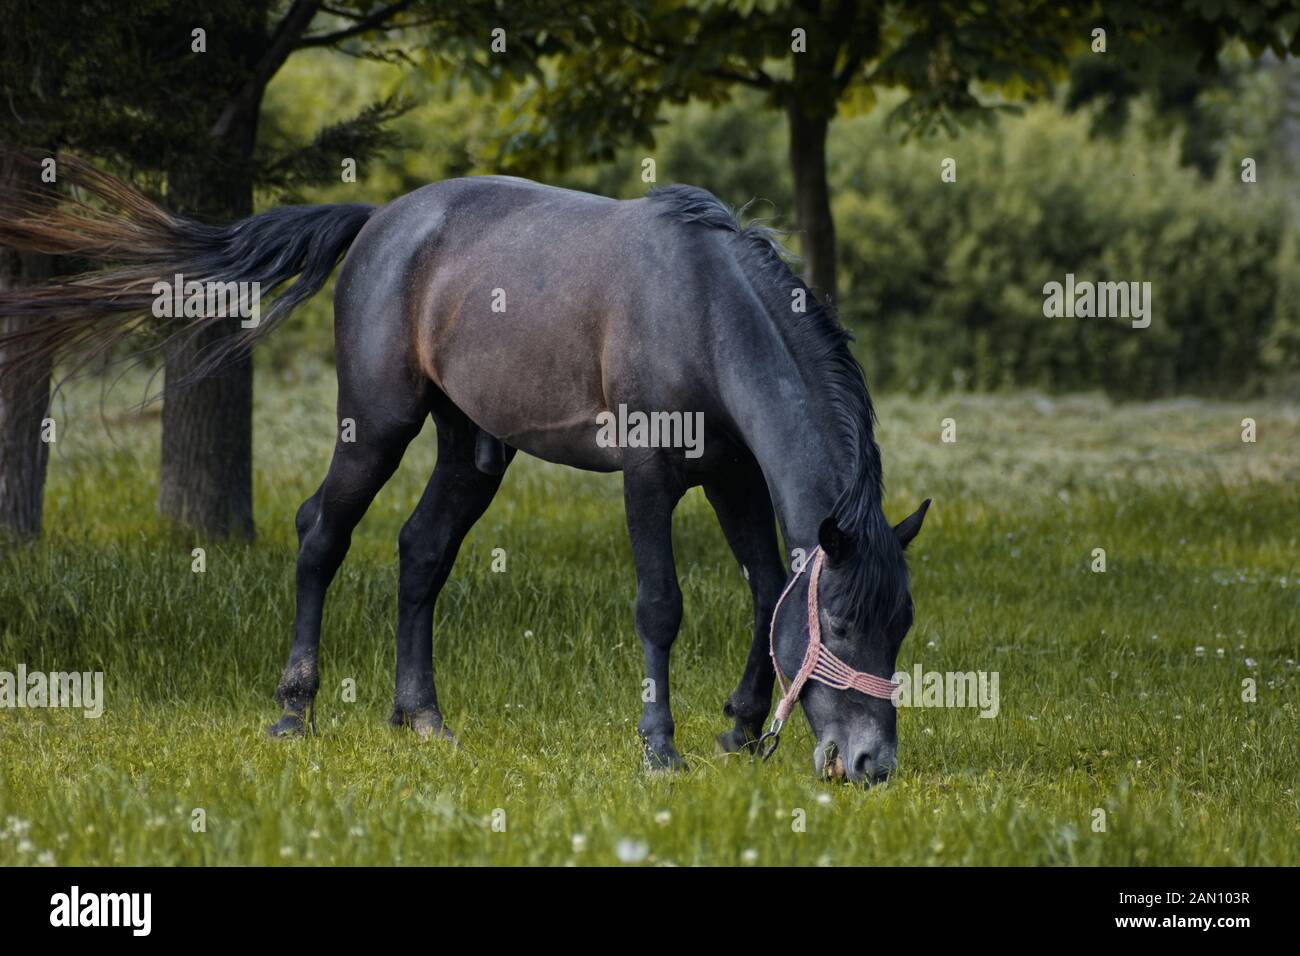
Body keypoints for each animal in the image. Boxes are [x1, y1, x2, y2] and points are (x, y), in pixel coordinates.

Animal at [0, 155, 929, 783]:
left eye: (901, 625)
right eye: (841, 624)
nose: (871, 764)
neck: (703, 307)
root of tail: (380, 219)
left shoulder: (731, 475)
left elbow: (766, 588)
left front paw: (738, 730)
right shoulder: (650, 479)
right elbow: (661, 607)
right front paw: (660, 749)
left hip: (471, 448)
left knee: (421, 552)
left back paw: (421, 719)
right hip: (377, 426)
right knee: (321, 533)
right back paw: (295, 710)